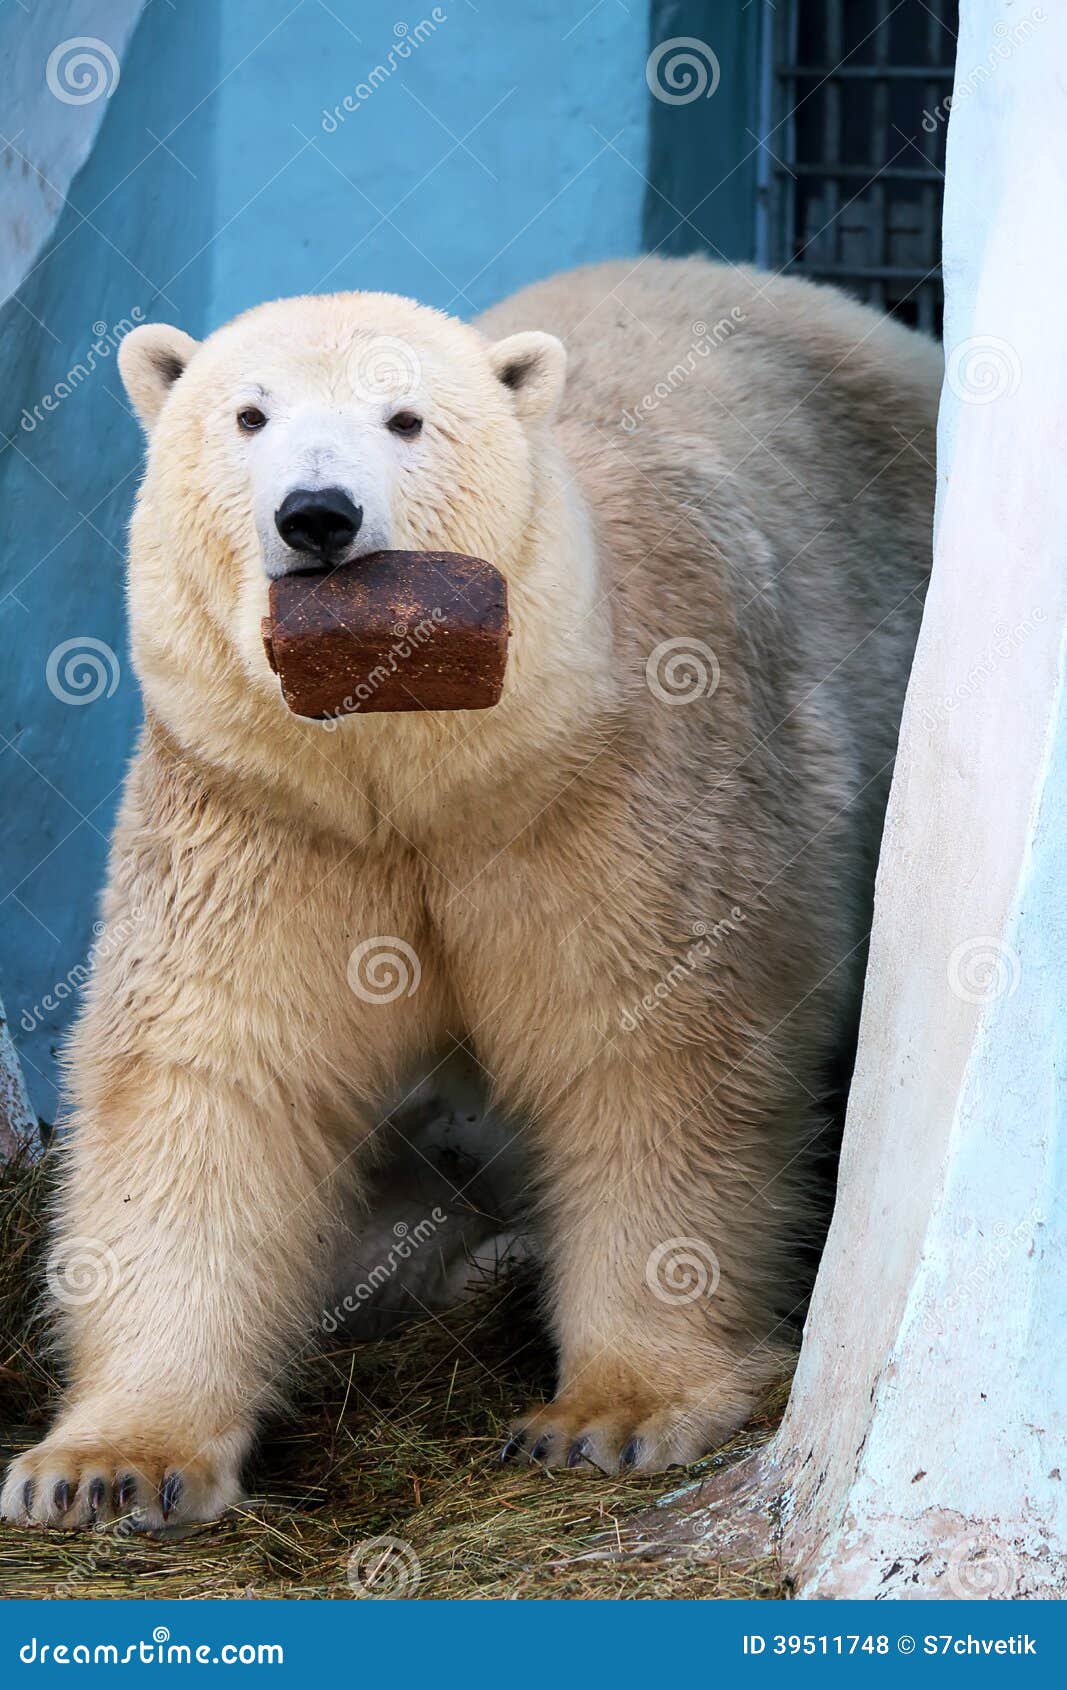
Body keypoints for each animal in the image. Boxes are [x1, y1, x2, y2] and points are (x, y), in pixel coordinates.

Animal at [2, 256, 941, 1529]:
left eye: (405, 419)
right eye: (246, 416)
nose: (317, 515)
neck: (409, 760)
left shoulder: (608, 794)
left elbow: (653, 1056)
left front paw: (612, 1413)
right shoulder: (260, 815)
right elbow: (211, 1080)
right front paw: (106, 1464)